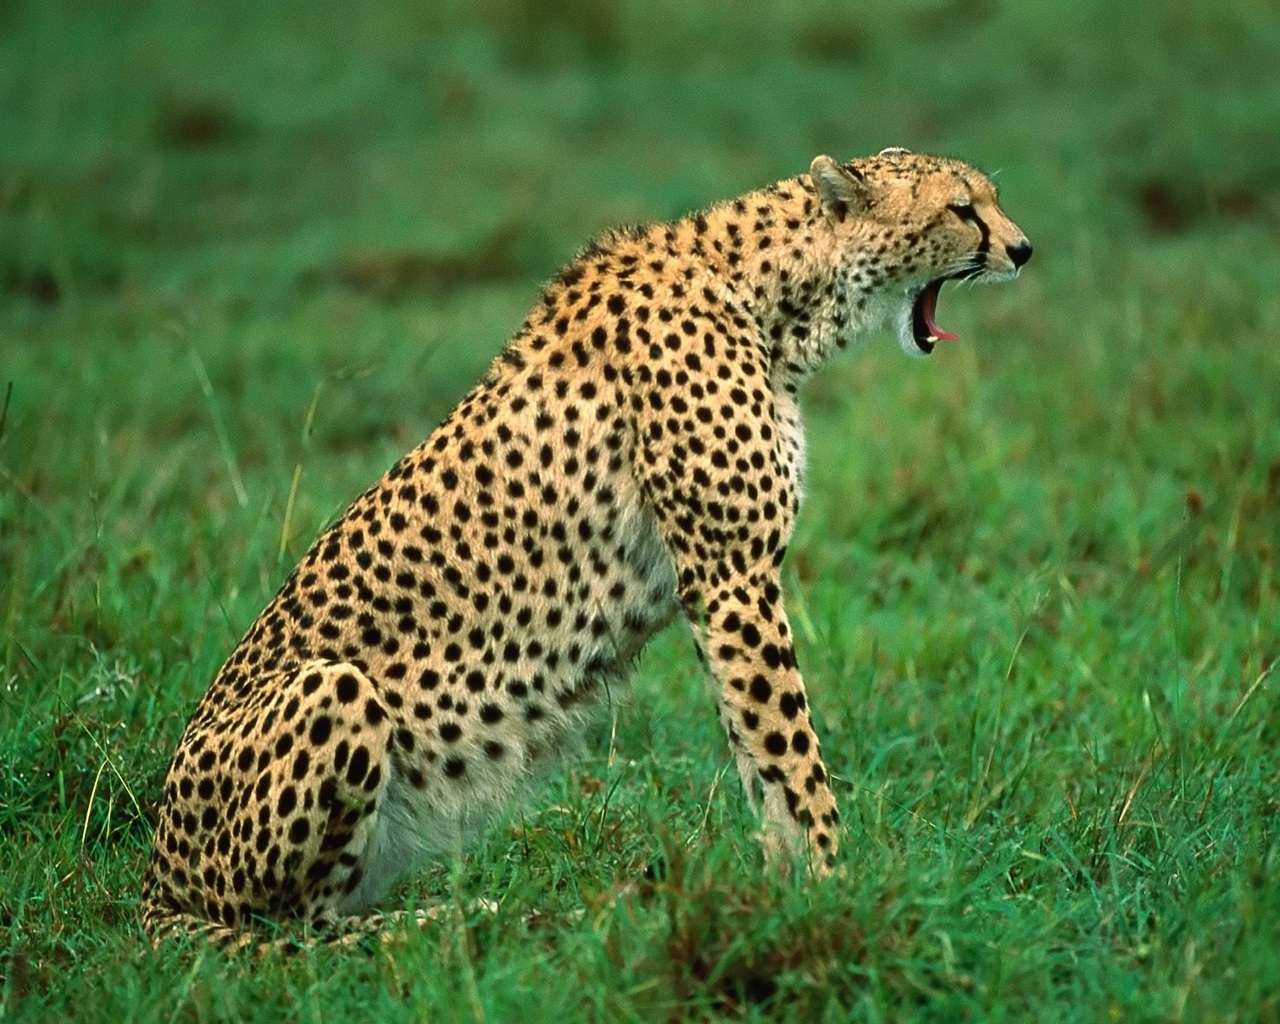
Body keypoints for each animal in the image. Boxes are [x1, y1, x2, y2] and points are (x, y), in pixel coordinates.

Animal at [141, 147, 1031, 945]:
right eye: (962, 208)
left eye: (989, 198)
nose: (1022, 248)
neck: (773, 294)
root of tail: (152, 879)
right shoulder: (734, 576)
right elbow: (790, 751)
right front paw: (834, 884)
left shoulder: (723, 588)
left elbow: (757, 753)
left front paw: (787, 889)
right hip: (333, 686)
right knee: (289, 927)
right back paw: (446, 923)